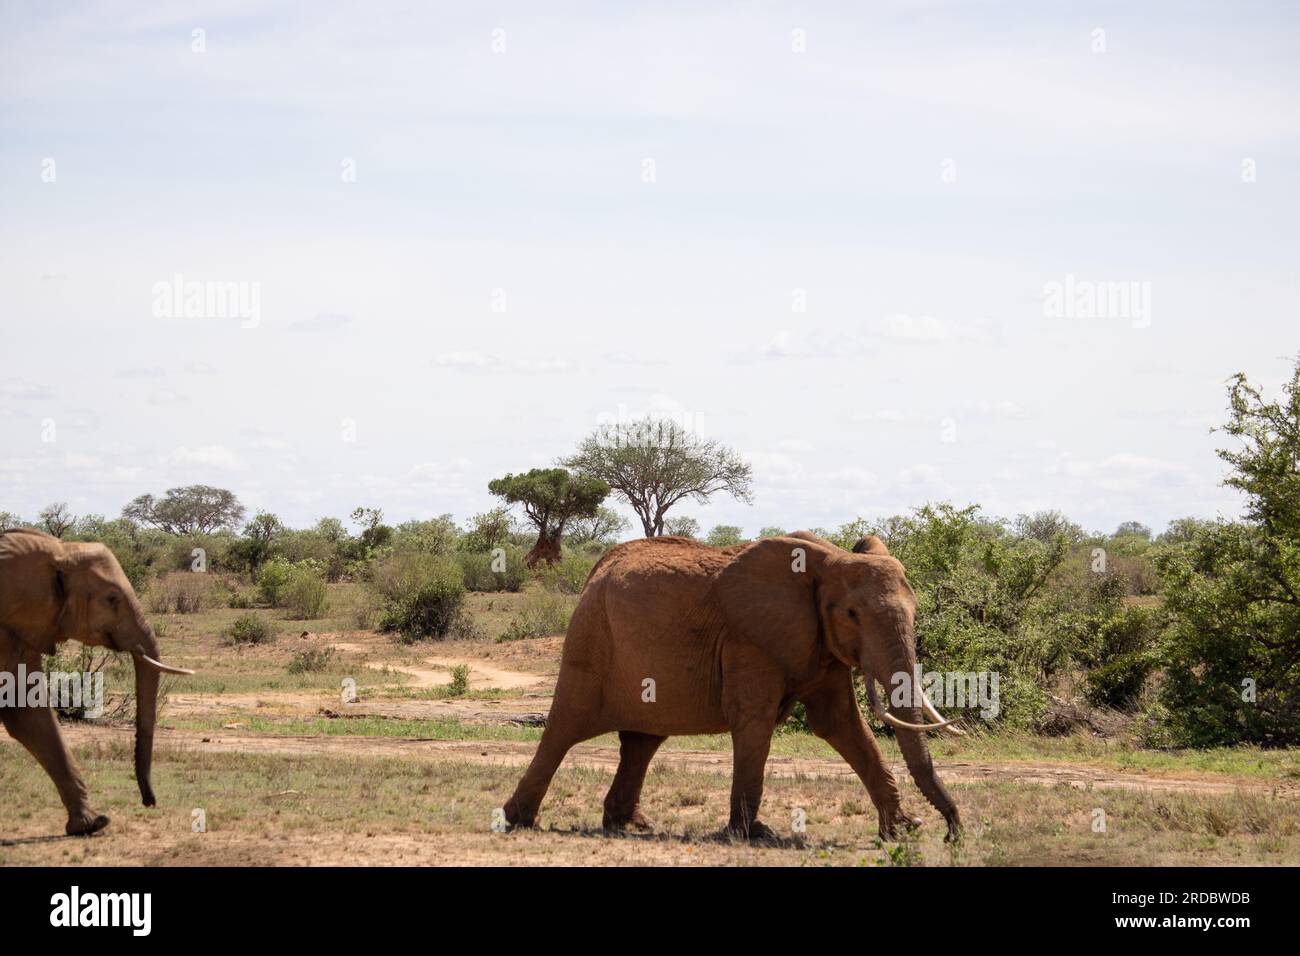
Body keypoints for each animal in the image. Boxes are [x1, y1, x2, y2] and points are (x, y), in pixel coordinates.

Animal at [0, 528, 192, 835]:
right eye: (112, 599)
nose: (149, 801)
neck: (58, 549)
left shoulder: (22, 631)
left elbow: (28, 714)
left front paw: (91, 824)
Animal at [503, 532, 962, 843]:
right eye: (852, 614)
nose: (951, 834)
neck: (829, 560)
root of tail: (595, 570)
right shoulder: (749, 641)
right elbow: (756, 721)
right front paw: (753, 834)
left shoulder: (817, 641)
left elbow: (840, 724)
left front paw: (900, 831)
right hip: (590, 640)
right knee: (565, 728)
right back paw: (516, 820)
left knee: (642, 741)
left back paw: (630, 824)